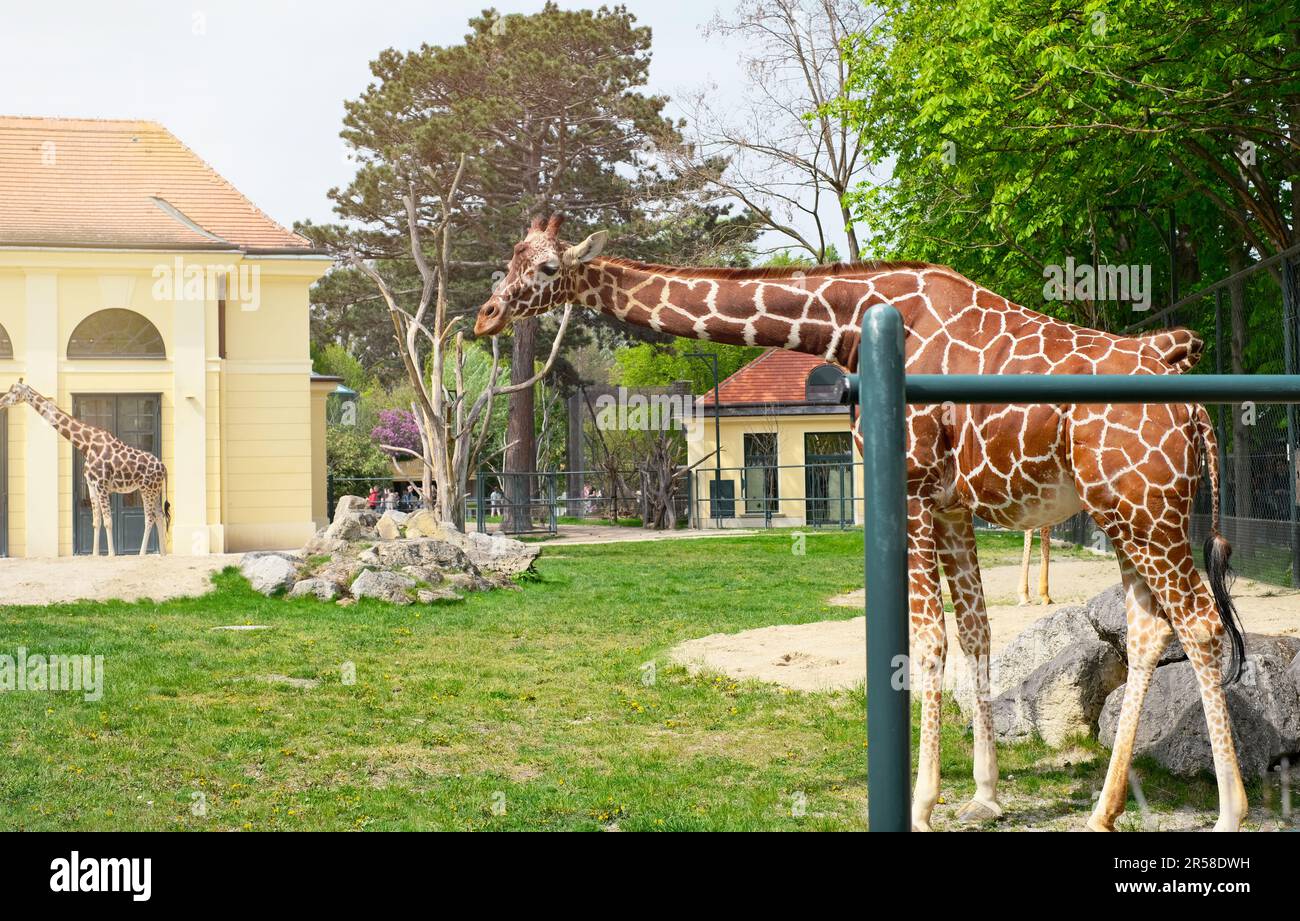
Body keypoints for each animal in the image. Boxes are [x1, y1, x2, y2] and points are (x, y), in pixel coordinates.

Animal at [0, 380, 169, 557]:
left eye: (14, 391)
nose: (1, 401)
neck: (86, 445)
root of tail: (164, 468)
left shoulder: (102, 484)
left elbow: (108, 521)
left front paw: (111, 554)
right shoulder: (91, 485)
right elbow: (96, 521)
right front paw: (95, 554)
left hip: (146, 489)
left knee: (149, 517)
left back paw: (142, 554)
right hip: (155, 490)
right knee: (159, 515)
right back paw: (163, 554)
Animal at [474, 215, 1247, 832]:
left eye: (545, 269)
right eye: (509, 258)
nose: (484, 316)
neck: (846, 323)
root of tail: (1194, 407)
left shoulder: (910, 487)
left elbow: (929, 641)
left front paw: (923, 805)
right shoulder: (951, 503)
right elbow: (976, 632)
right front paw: (984, 797)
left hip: (1145, 510)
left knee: (1202, 623)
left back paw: (1229, 812)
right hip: (1126, 513)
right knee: (1149, 628)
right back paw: (1102, 811)